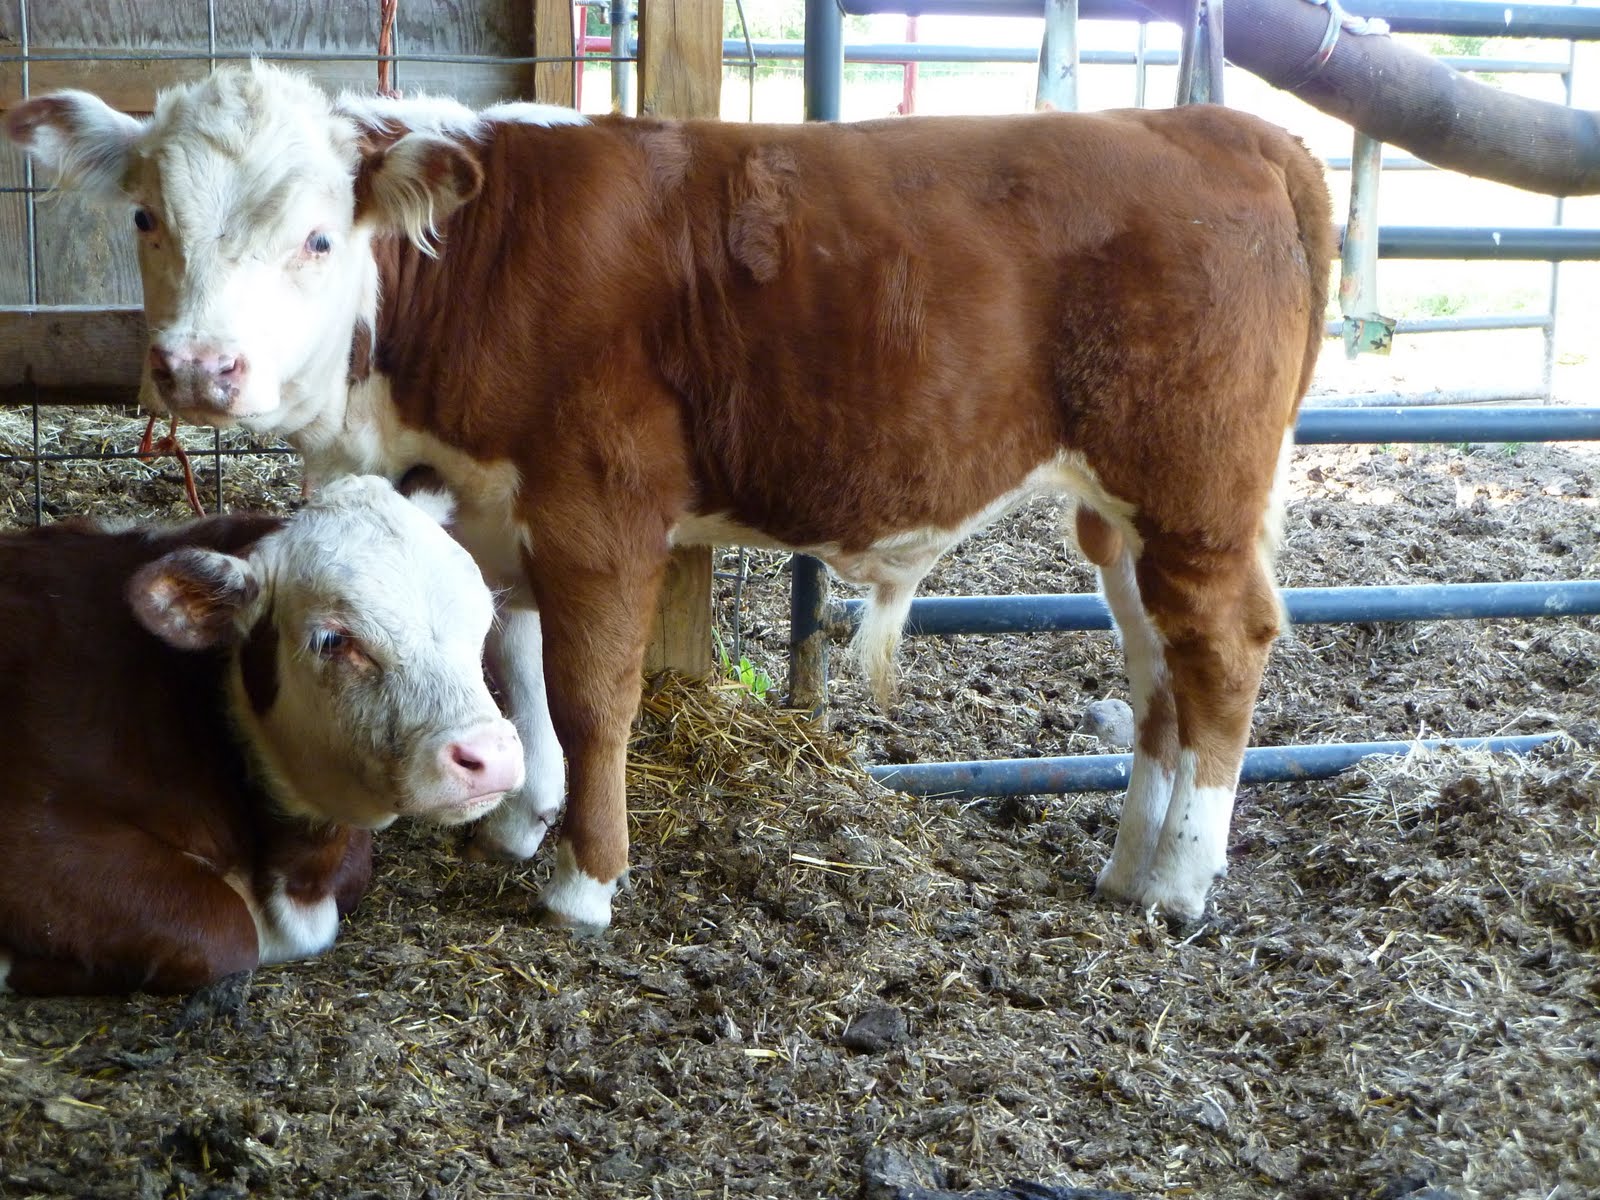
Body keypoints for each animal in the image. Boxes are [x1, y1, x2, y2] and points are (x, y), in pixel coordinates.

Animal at [5, 65, 1333, 929]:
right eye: (147, 216)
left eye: (320, 238)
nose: (199, 368)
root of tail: (1222, 123)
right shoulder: (491, 506)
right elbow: (517, 656)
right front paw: (519, 814)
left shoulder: (601, 509)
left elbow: (593, 694)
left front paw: (583, 878)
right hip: (1120, 516)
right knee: (1157, 670)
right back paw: (1132, 864)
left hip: (1193, 490)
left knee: (1225, 647)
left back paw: (1180, 882)